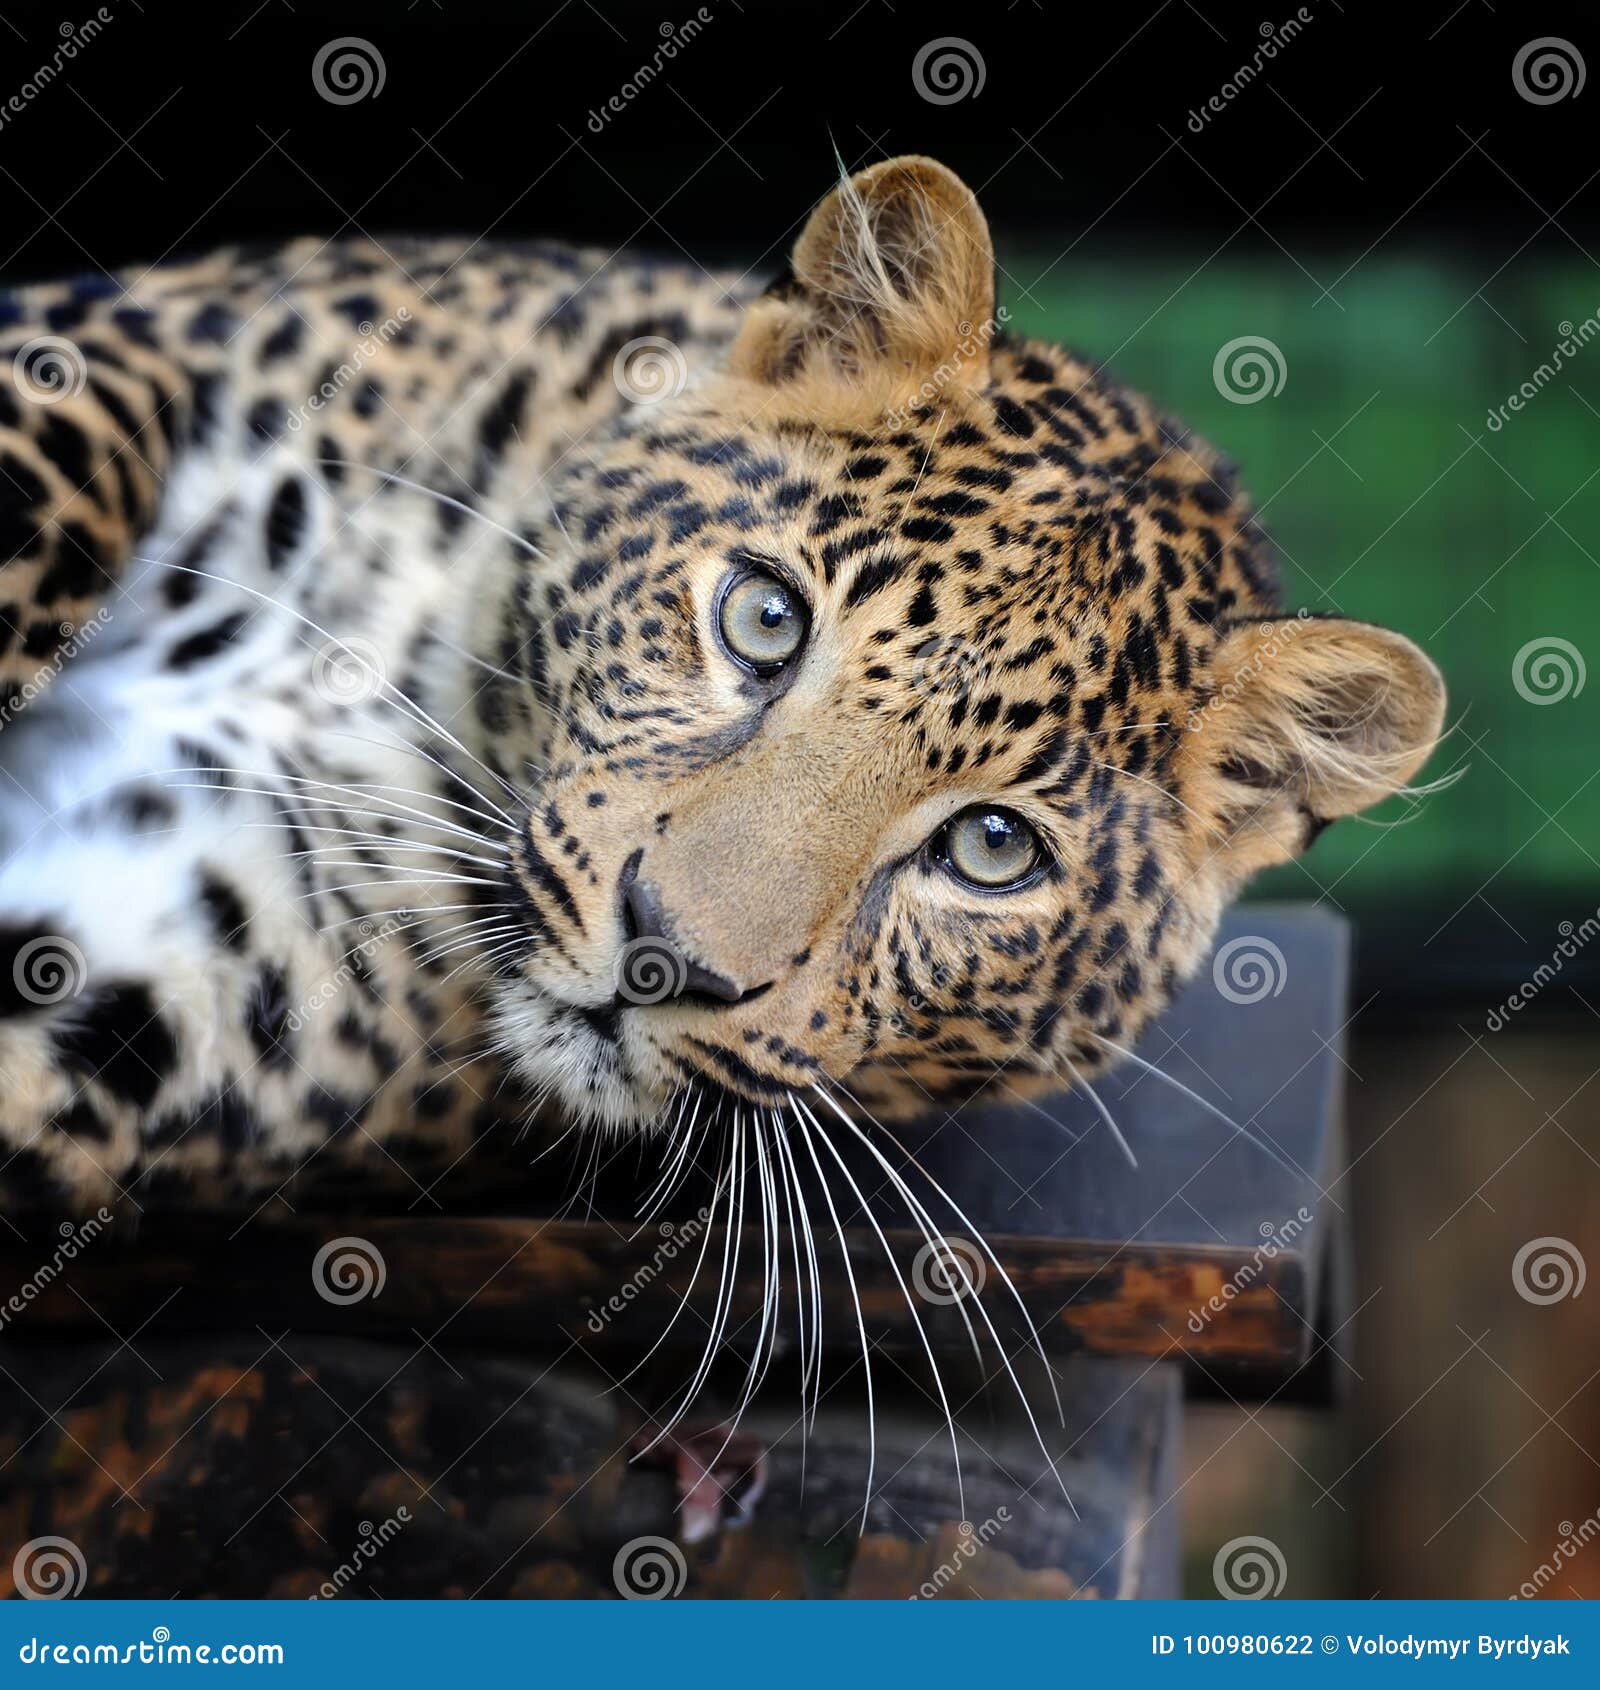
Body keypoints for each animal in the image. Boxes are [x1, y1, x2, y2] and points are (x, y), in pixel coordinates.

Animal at [0, 155, 1445, 1214]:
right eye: (764, 619)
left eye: (991, 848)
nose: (666, 960)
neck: (404, 647)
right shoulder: (129, 344)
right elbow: (77, 452)